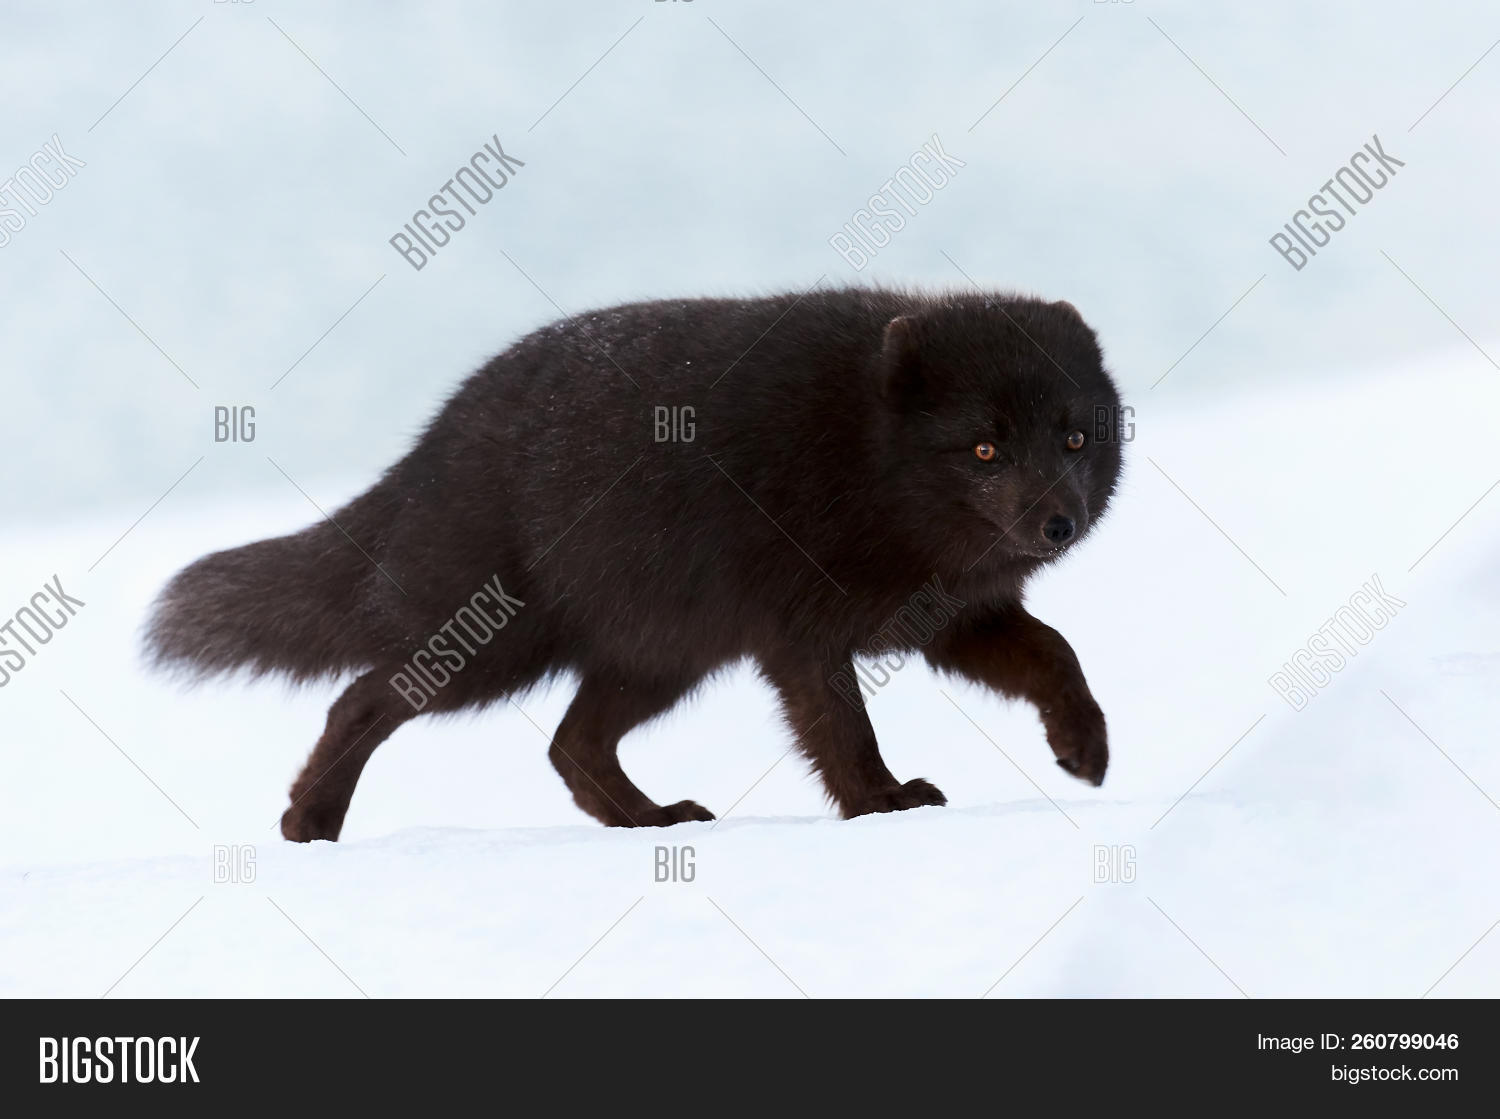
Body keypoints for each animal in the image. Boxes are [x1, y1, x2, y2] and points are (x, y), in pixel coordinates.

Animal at [146, 287, 1125, 841]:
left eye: (1074, 438)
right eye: (986, 449)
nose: (1059, 523)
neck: (862, 459)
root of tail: (432, 442)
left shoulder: (955, 617)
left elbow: (1060, 654)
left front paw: (1083, 747)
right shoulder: (800, 639)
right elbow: (846, 733)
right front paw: (880, 809)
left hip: (663, 657)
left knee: (570, 744)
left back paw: (646, 821)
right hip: (495, 651)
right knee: (362, 697)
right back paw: (308, 821)